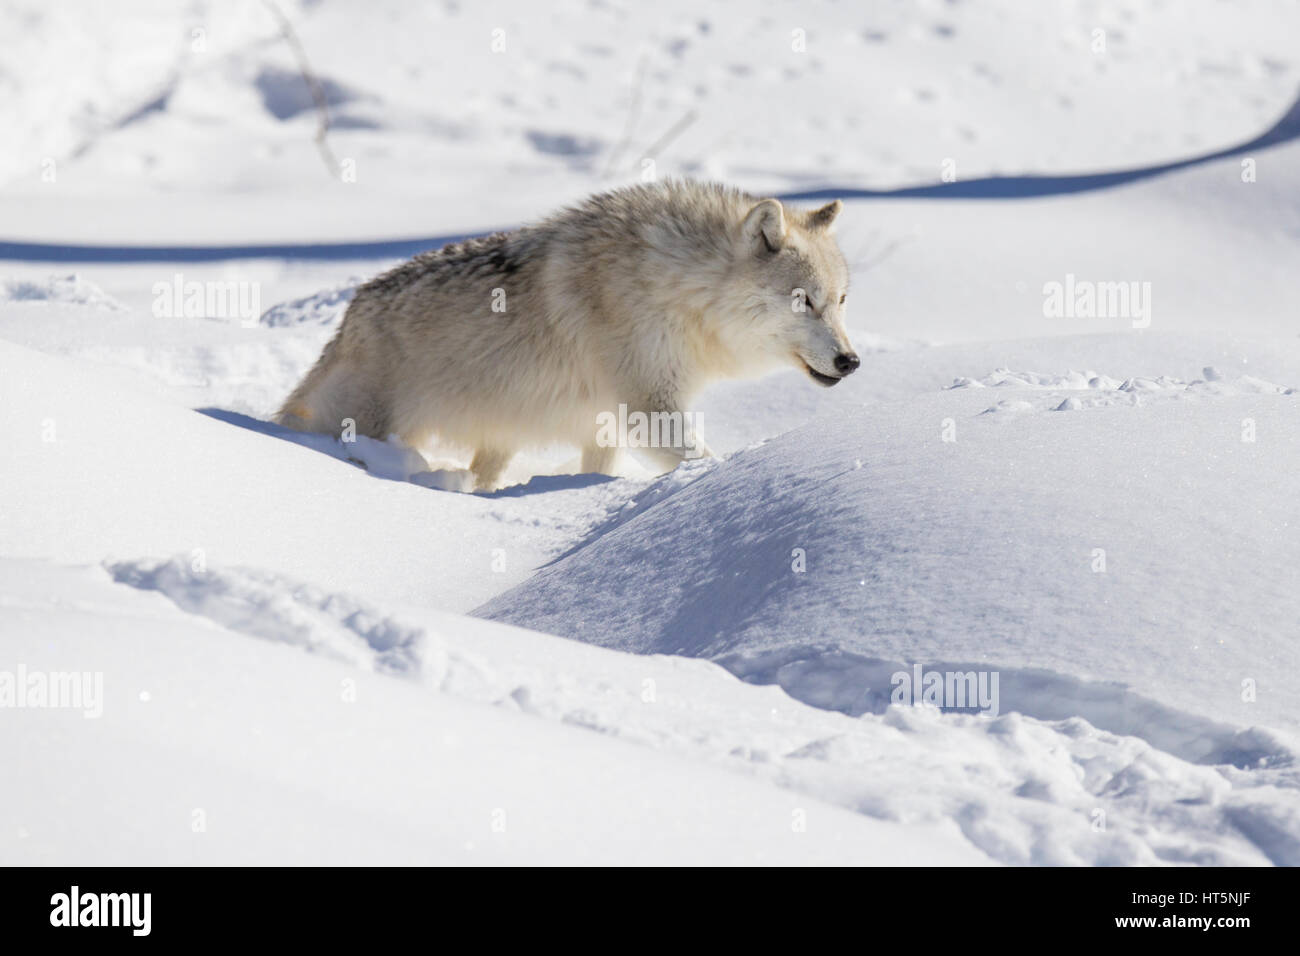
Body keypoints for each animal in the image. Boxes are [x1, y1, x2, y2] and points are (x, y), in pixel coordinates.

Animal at [276, 180, 859, 490]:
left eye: (841, 300)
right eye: (804, 301)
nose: (851, 362)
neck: (677, 284)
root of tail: (351, 315)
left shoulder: (604, 428)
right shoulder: (648, 408)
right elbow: (702, 458)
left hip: (499, 443)